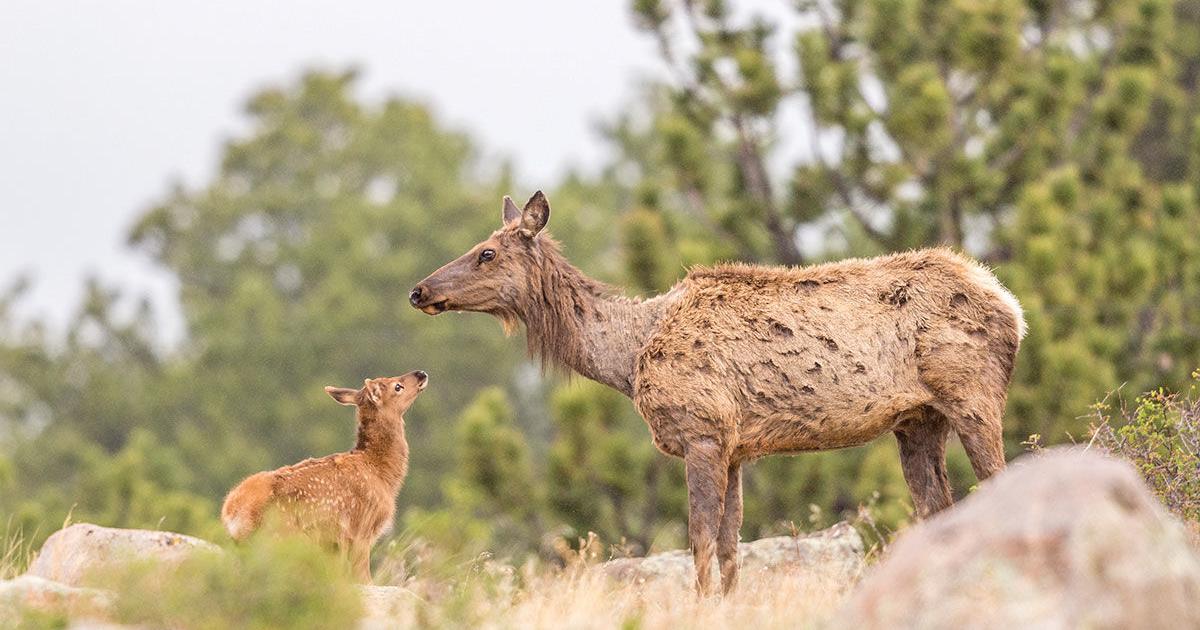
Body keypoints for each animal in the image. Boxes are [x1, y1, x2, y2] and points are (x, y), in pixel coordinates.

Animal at [220, 370, 428, 582]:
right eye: (397, 386)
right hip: (285, 539)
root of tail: (233, 512)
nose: (421, 374)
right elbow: (363, 577)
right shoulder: (361, 529)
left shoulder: (334, 545)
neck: (380, 471)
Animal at [409, 192, 1025, 596]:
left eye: (487, 253)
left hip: (972, 396)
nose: (419, 290)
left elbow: (700, 542)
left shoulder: (701, 431)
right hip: (918, 422)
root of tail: (1013, 307)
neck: (627, 357)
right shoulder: (736, 449)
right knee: (938, 509)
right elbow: (730, 549)